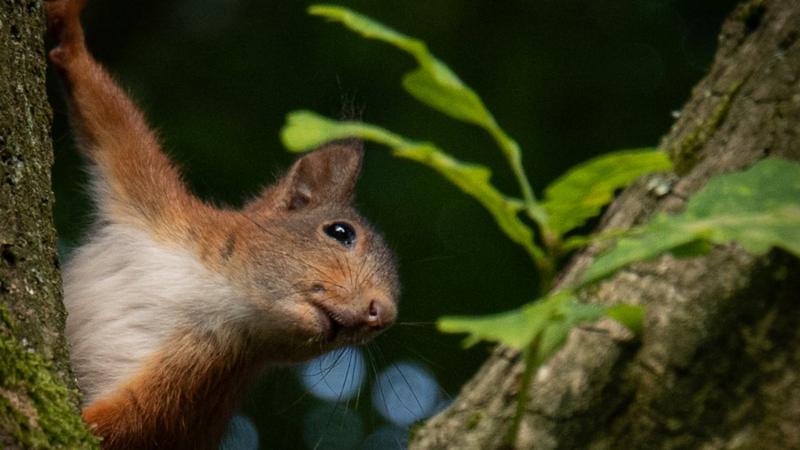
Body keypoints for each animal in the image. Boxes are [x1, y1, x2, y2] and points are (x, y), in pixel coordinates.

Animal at [44, 0, 400, 448]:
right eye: (340, 232)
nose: (382, 314)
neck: (216, 288)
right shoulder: (153, 202)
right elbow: (110, 118)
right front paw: (69, 30)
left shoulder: (201, 378)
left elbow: (126, 424)